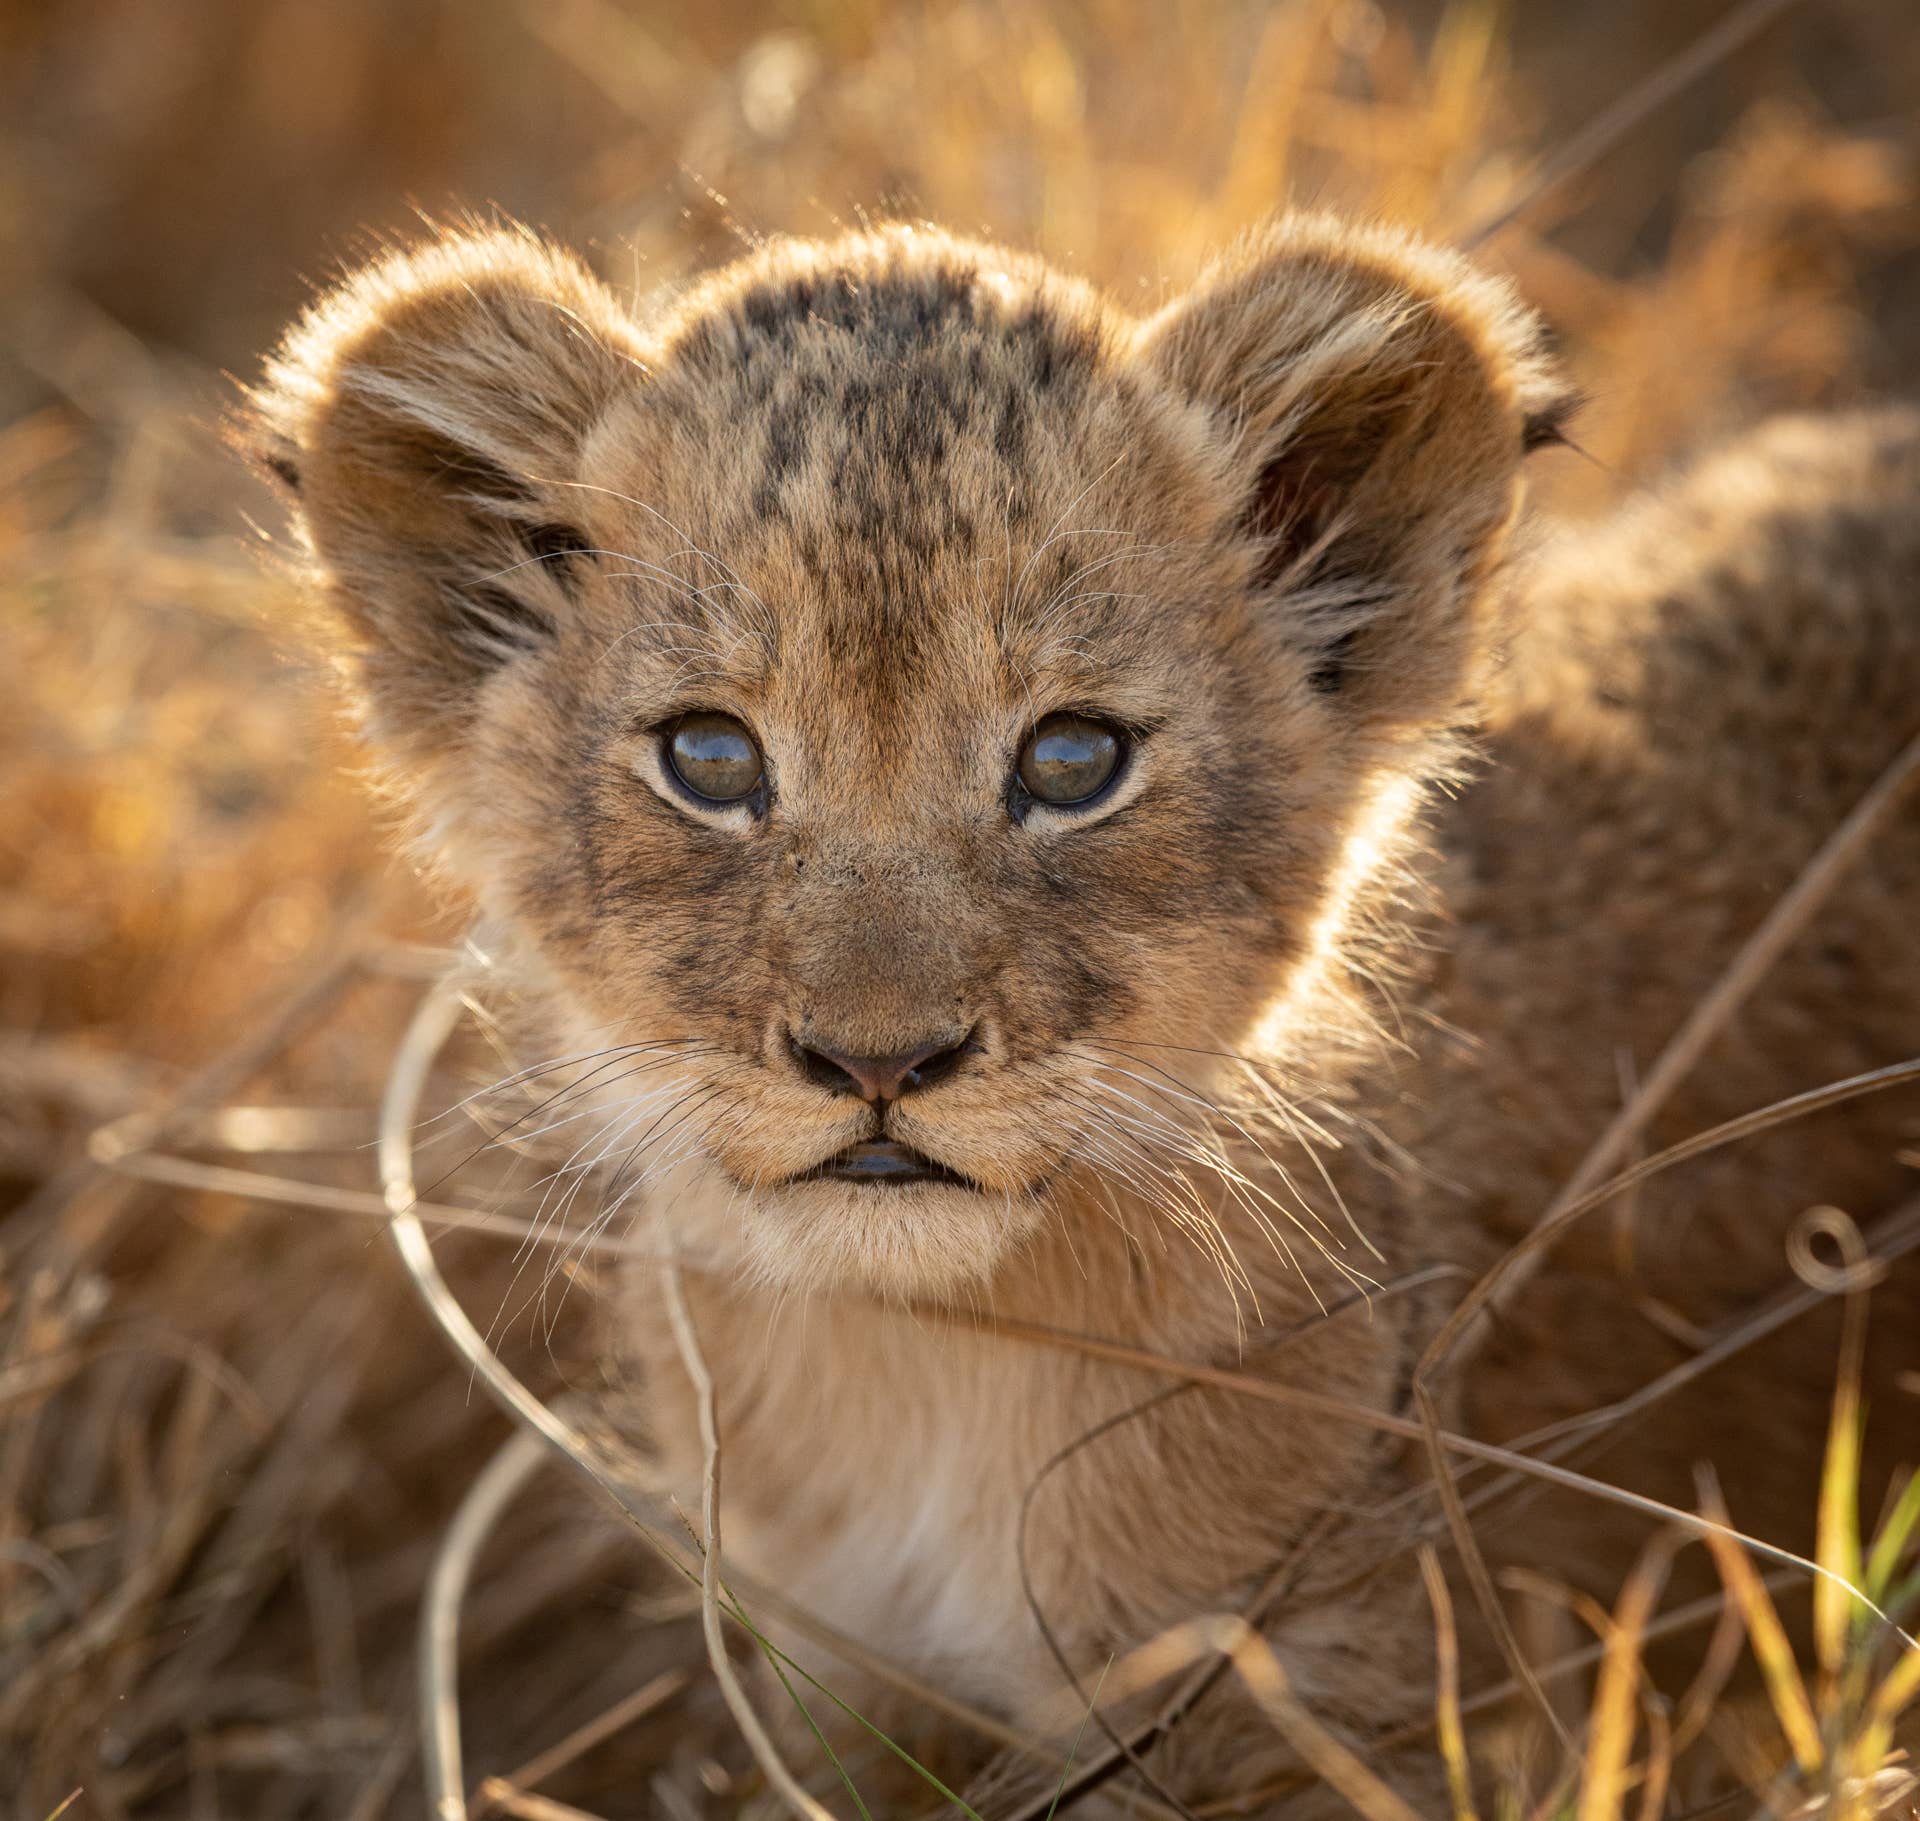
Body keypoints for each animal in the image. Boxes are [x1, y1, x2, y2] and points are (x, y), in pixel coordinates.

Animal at [249, 216, 1920, 1813]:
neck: (924, 1367)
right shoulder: (834, 1667)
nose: (878, 1059)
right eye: (710, 759)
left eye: (1072, 762)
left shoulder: (1288, 1688)